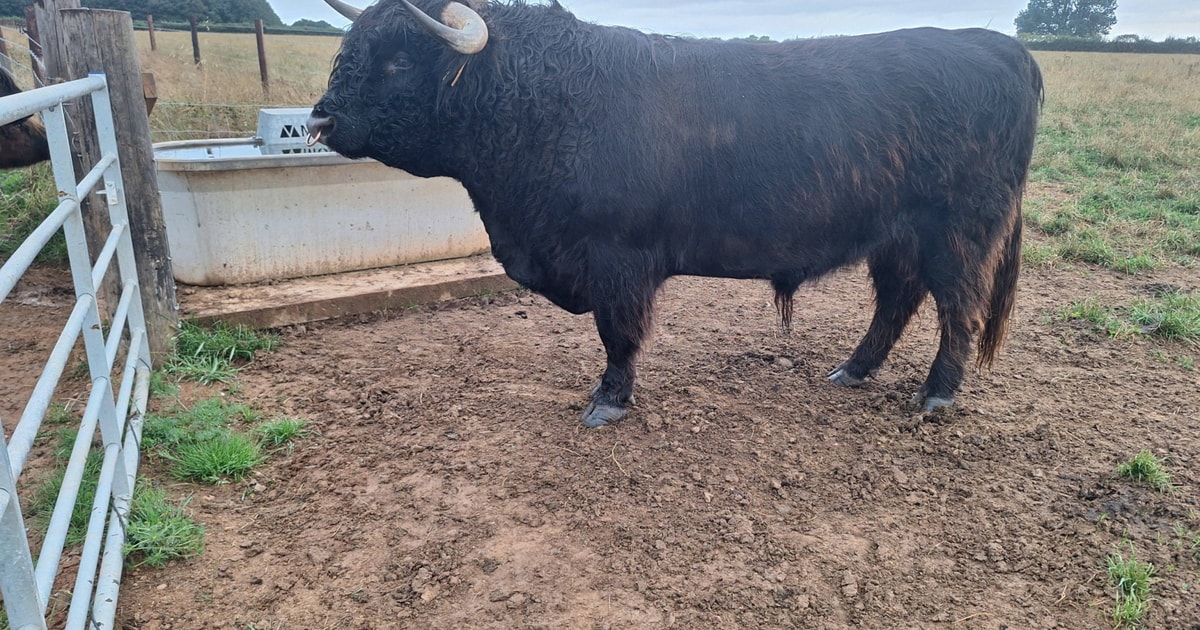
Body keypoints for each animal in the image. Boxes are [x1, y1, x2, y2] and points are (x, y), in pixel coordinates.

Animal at [308, 0, 1043, 428]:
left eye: (400, 59)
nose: (319, 119)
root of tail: (1000, 48)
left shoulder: (616, 258)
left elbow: (617, 334)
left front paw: (608, 401)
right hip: (896, 237)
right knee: (897, 302)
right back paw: (851, 371)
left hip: (960, 233)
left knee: (959, 310)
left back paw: (937, 396)